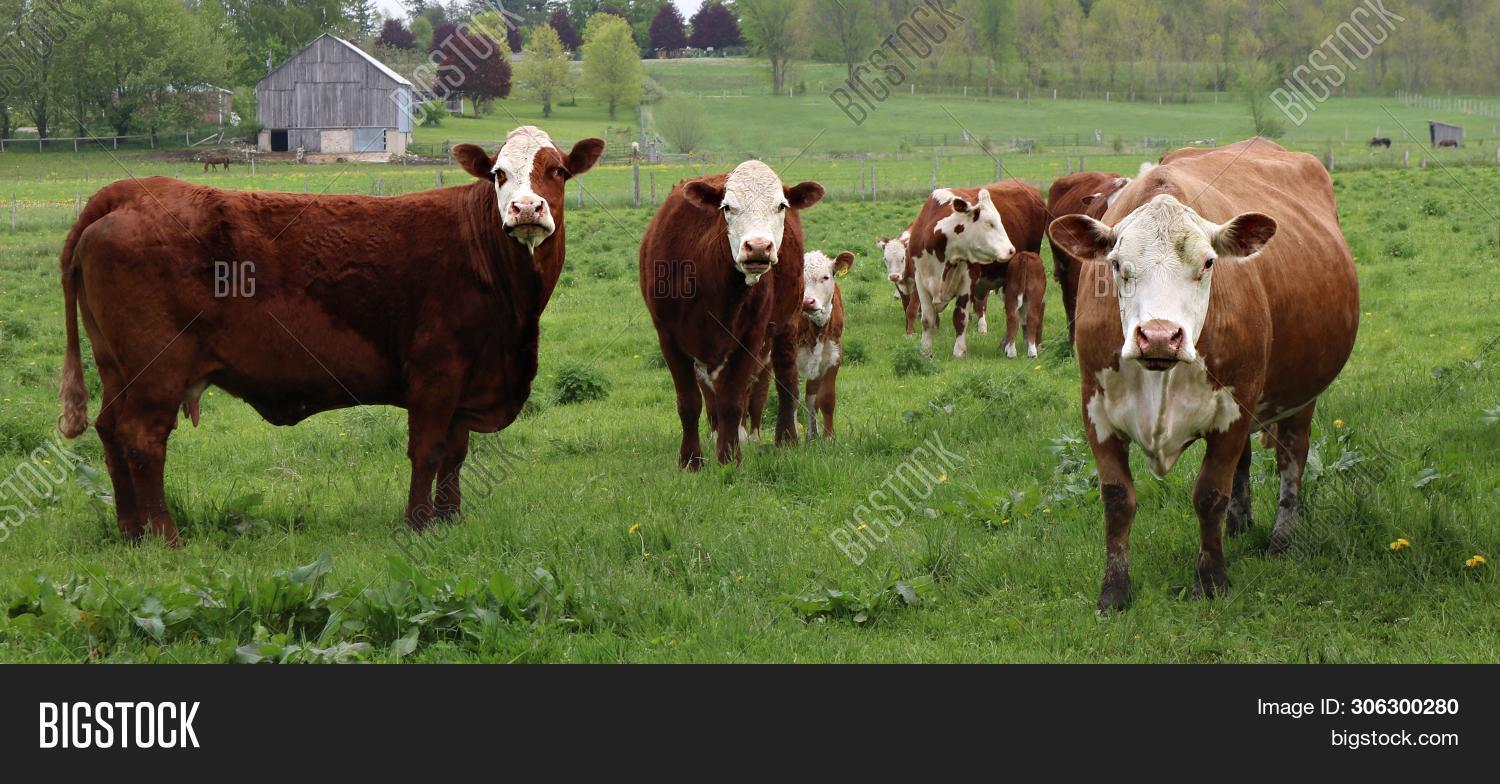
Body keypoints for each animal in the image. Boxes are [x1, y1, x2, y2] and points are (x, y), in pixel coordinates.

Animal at [57, 125, 605, 544]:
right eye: (499, 174)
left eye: (557, 171)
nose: (526, 209)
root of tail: (127, 193)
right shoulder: (437, 372)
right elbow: (427, 450)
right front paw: (418, 524)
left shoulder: (468, 379)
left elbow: (455, 454)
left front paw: (451, 521)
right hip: (157, 371)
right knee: (141, 439)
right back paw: (167, 538)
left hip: (117, 367)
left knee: (110, 431)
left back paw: (131, 532)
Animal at [639, 161, 825, 468]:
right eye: (727, 207)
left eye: (781, 205)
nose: (758, 246)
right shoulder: (668, 337)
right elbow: (690, 402)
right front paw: (691, 460)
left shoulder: (749, 338)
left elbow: (732, 400)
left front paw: (729, 458)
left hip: (786, 326)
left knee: (785, 380)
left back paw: (785, 437)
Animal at [905, 180, 1047, 358]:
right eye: (990, 223)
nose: (1011, 250)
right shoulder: (921, 280)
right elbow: (927, 319)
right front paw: (925, 351)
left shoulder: (967, 281)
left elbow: (960, 318)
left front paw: (959, 351)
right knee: (1013, 311)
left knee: (1028, 310)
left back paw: (1031, 343)